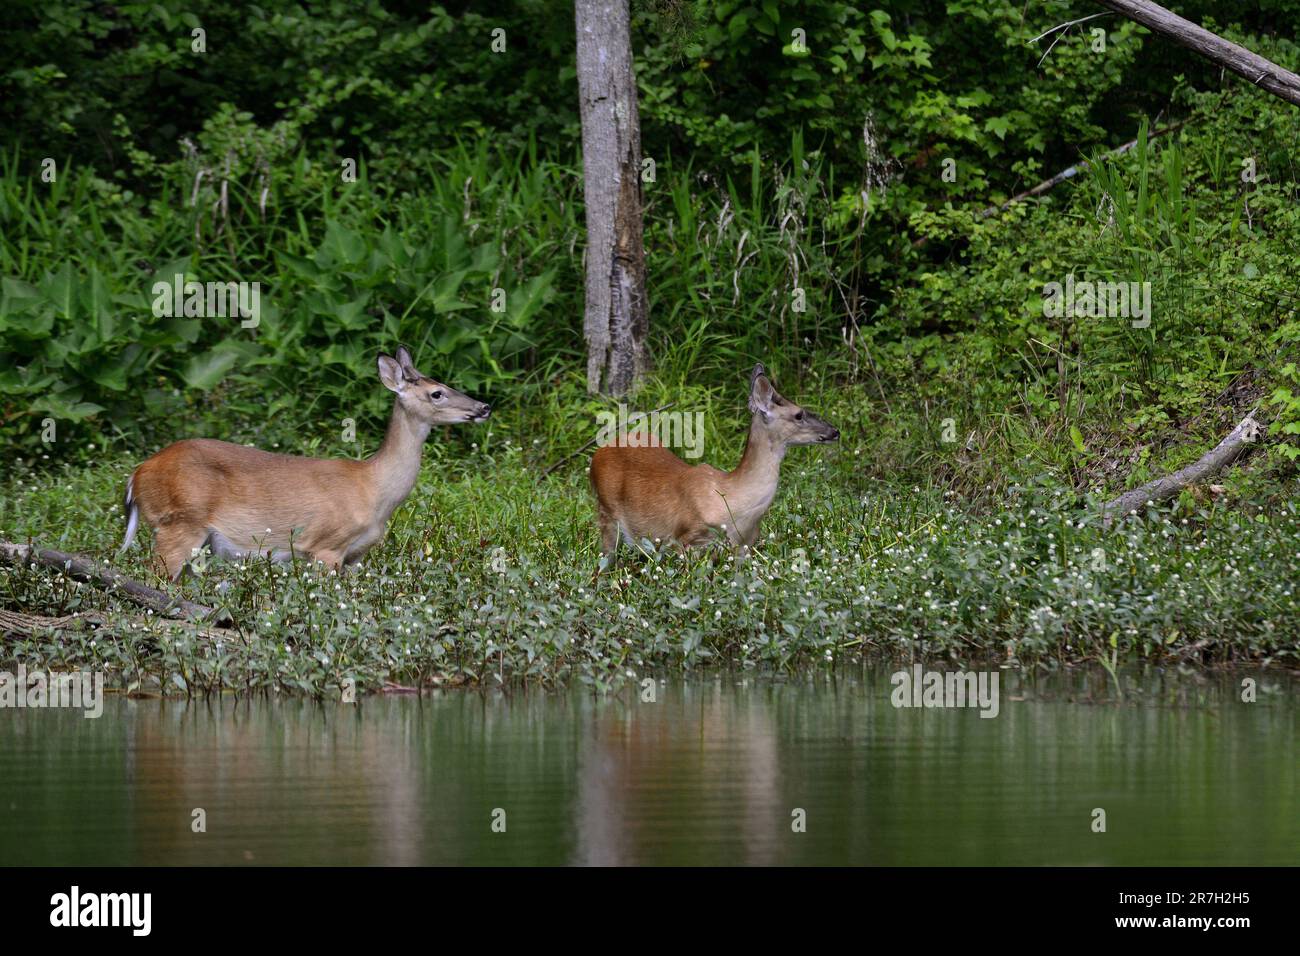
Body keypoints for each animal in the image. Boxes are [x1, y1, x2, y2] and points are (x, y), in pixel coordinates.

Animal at [121, 346, 490, 580]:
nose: (484, 407)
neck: (373, 489)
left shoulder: (355, 555)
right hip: (179, 523)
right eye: (437, 393)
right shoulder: (325, 546)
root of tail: (137, 475)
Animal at [589, 363, 838, 566]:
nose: (835, 431)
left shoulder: (744, 547)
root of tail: (598, 453)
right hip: (607, 515)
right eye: (798, 414)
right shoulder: (687, 539)